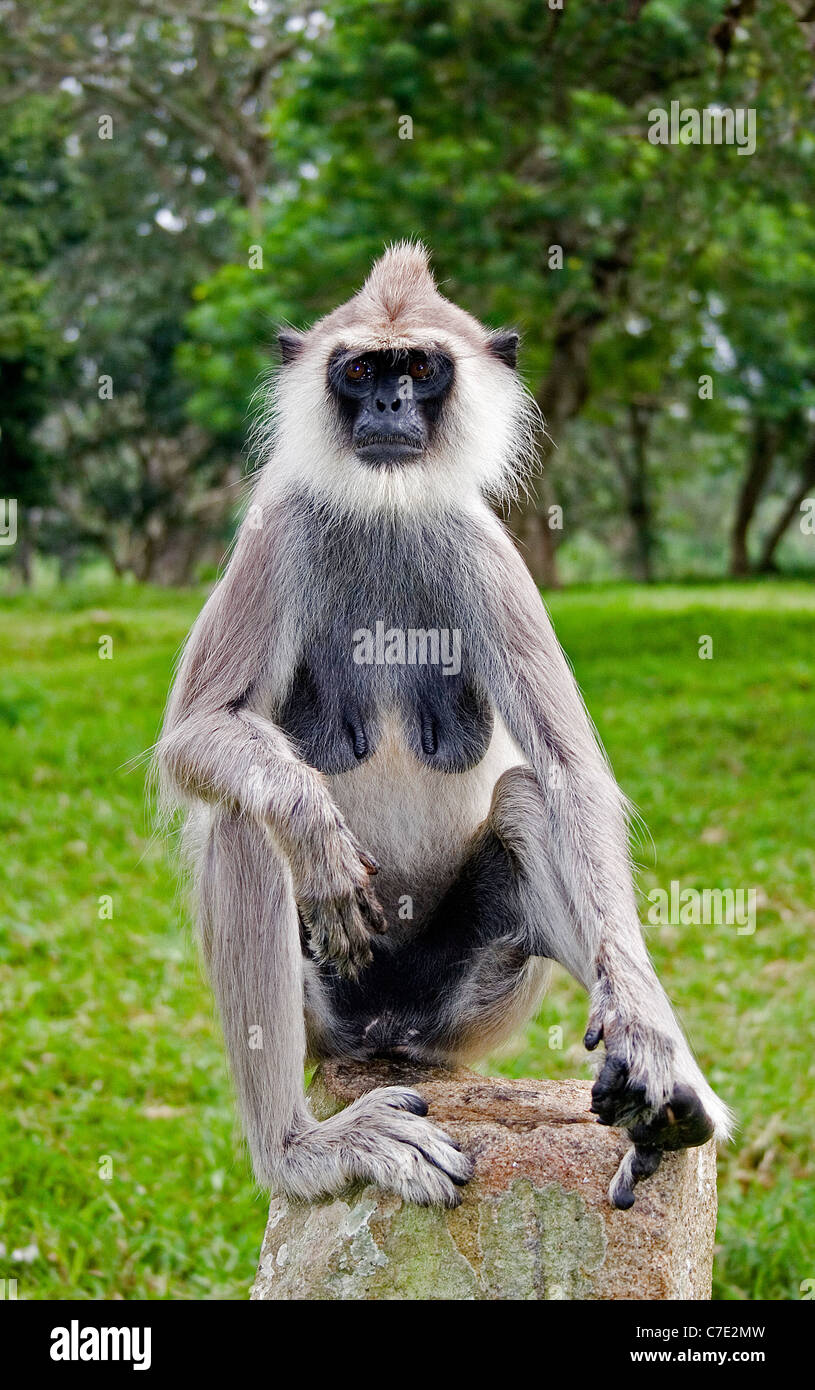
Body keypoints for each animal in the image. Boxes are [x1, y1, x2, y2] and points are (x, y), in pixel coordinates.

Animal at [156, 242, 731, 1212]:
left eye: (419, 369)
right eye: (362, 371)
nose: (388, 406)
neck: (384, 507)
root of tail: (391, 1034)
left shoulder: (483, 549)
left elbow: (569, 774)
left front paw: (648, 1039)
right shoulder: (278, 529)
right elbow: (197, 738)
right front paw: (313, 827)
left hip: (467, 1006)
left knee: (527, 799)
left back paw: (665, 1110)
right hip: (328, 1013)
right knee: (243, 821)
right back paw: (298, 1151)